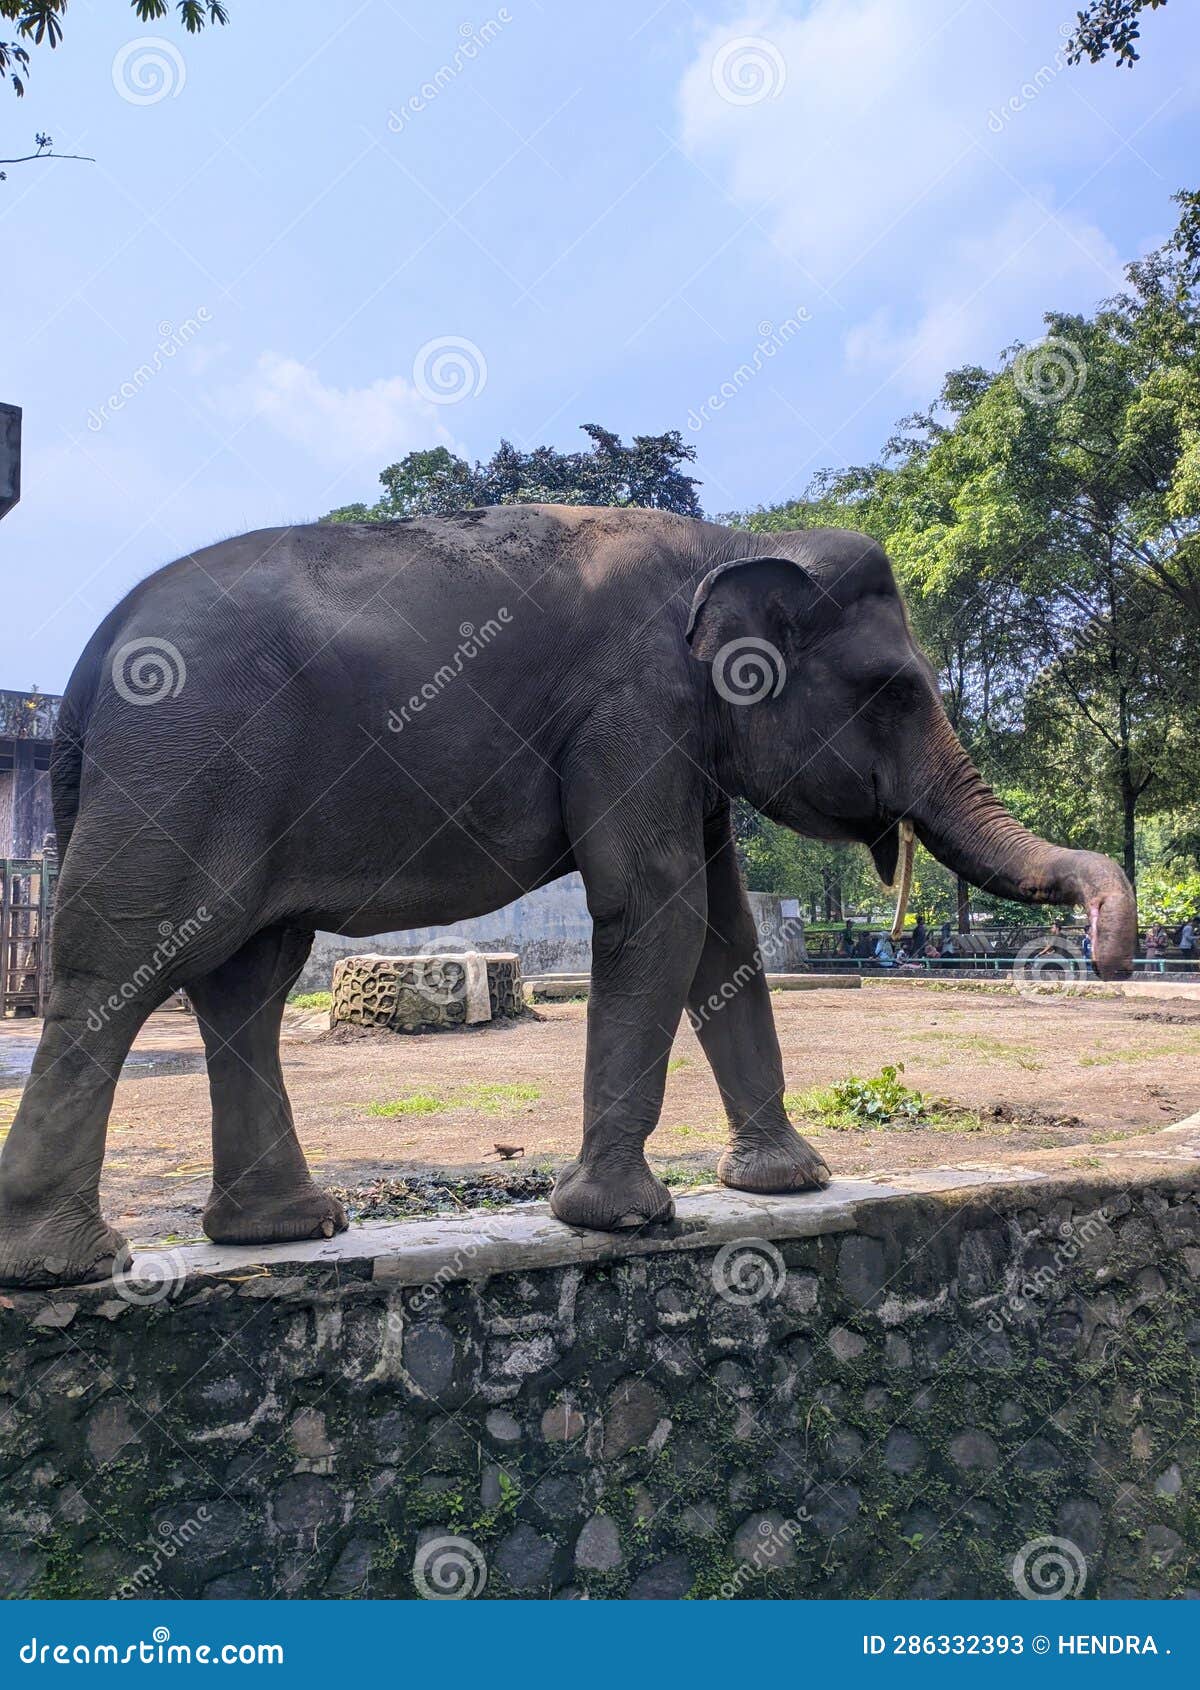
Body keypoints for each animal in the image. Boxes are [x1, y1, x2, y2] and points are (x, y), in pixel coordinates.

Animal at [0, 506, 1136, 1286]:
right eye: (893, 690)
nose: (1109, 950)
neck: (732, 541)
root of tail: (91, 660)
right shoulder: (633, 707)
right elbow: (659, 908)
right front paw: (625, 1220)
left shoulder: (682, 739)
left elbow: (727, 932)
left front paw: (788, 1186)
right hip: (185, 762)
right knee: (125, 957)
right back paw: (69, 1264)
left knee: (249, 981)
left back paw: (283, 1228)